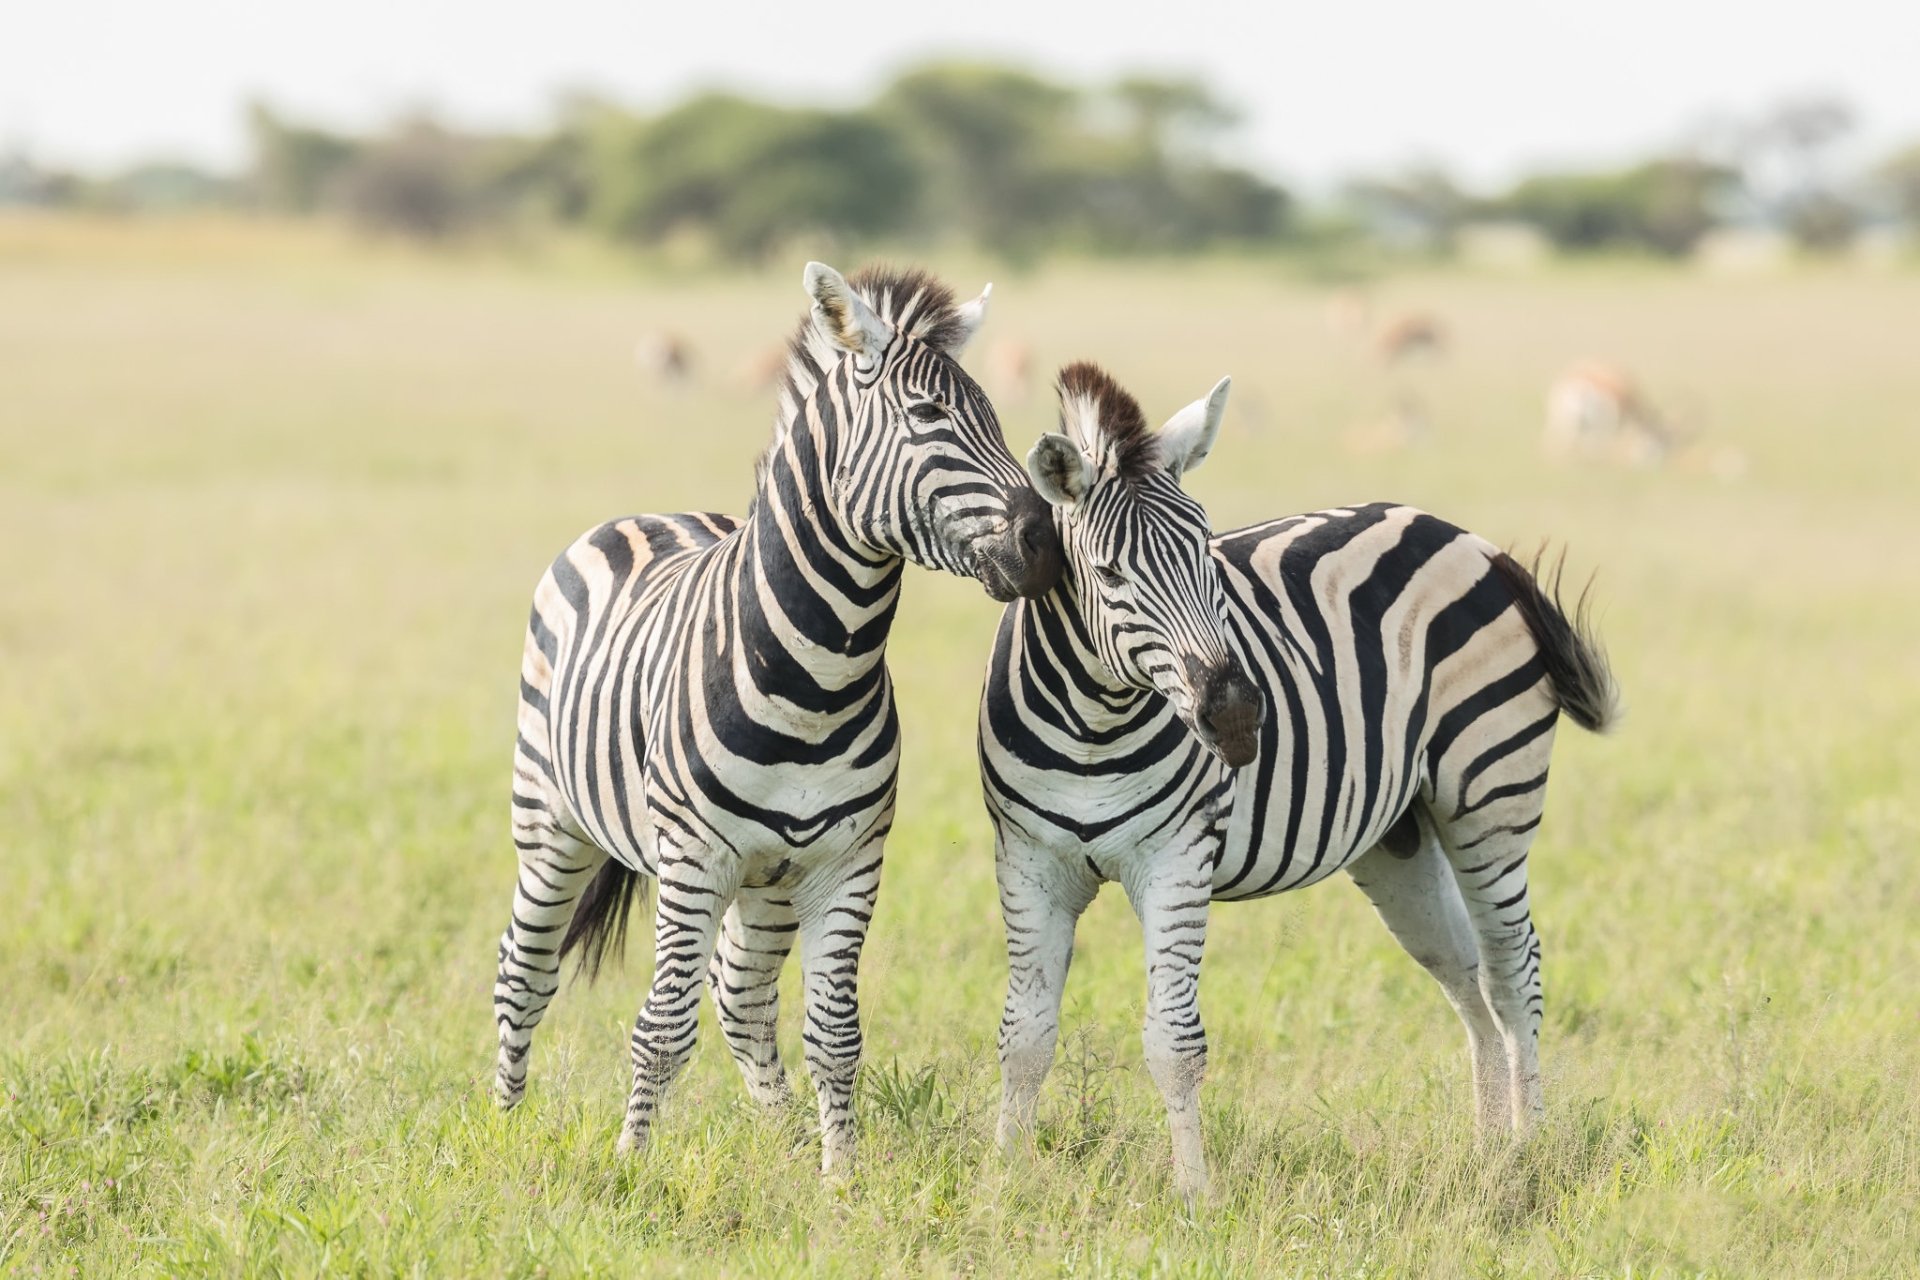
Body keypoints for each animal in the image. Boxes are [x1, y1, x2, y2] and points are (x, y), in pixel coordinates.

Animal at [493, 263, 1064, 1177]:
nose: (1047, 547)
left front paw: (839, 1175)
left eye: (995, 416)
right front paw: (632, 1164)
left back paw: (784, 1132)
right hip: (552, 825)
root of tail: (649, 513)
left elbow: (834, 1033)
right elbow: (661, 1026)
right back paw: (505, 1120)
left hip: (767, 884)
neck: (818, 678)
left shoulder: (848, 862)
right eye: (928, 416)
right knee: (525, 970)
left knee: (741, 993)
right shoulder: (694, 860)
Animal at [981, 363, 1619, 1204]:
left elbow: (1173, 1041)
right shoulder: (1029, 862)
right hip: (1399, 840)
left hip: (1490, 798)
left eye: (1207, 554)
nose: (1236, 711)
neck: (1094, 721)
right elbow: (1023, 1034)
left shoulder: (1176, 859)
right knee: (1467, 976)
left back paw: (1529, 1149)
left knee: (1515, 972)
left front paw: (1195, 1198)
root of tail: (1468, 539)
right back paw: (1487, 1156)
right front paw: (1004, 1181)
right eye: (1111, 573)